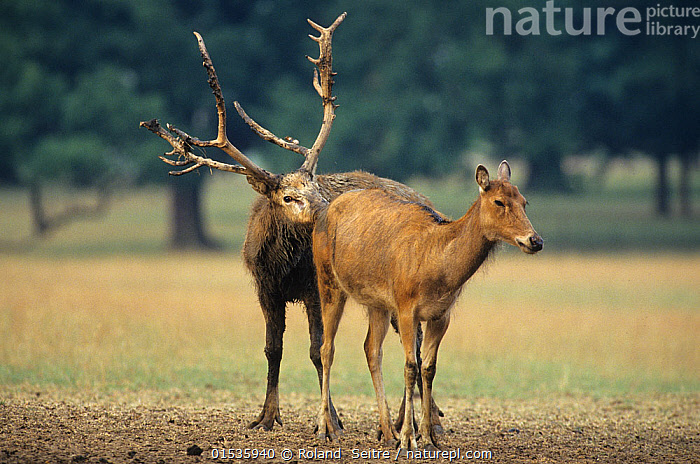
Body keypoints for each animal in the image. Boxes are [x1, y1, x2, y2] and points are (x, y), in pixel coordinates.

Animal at [140, 13, 443, 435]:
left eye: (316, 183)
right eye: (287, 197)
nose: (332, 209)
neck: (285, 265)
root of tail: (428, 202)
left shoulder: (315, 288)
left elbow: (317, 350)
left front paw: (331, 419)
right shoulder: (264, 286)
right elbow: (273, 348)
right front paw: (266, 417)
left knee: (413, 341)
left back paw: (418, 421)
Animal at [313, 160, 543, 451]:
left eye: (525, 201)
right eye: (499, 201)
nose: (535, 240)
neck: (437, 266)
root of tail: (325, 210)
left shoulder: (441, 314)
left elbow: (429, 368)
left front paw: (429, 437)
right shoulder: (405, 305)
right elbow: (410, 367)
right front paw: (409, 439)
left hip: (377, 303)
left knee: (371, 348)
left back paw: (387, 432)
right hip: (327, 279)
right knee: (327, 348)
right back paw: (326, 429)